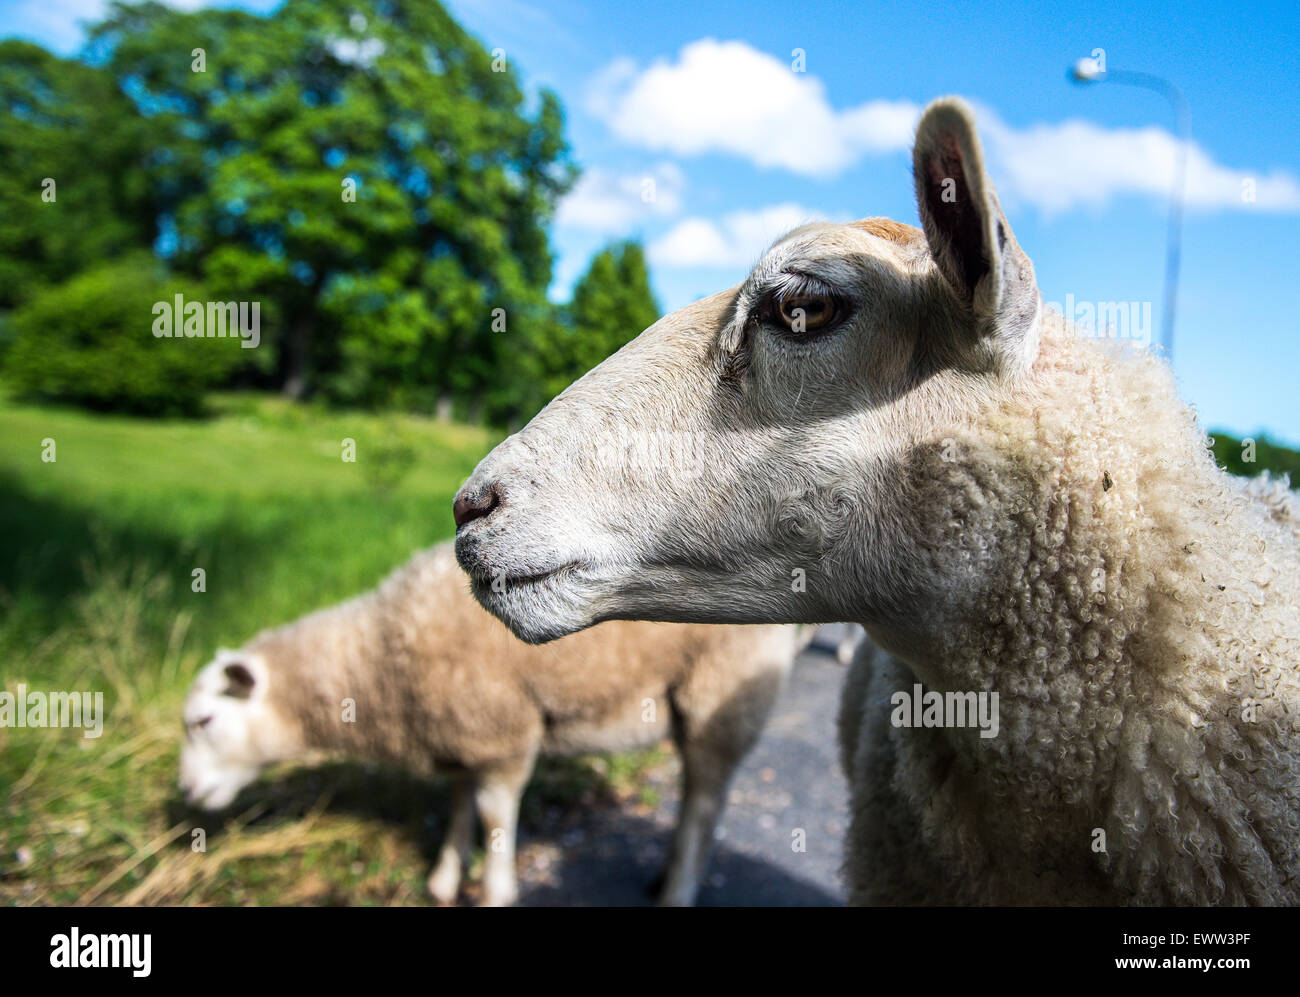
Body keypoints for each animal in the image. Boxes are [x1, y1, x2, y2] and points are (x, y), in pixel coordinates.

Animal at [178, 541, 803, 906]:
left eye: (205, 721)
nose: (185, 792)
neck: (380, 660)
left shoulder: (504, 735)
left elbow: (493, 816)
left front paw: (493, 890)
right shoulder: (460, 734)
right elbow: (458, 805)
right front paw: (445, 878)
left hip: (722, 699)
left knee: (703, 804)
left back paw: (678, 889)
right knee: (699, 796)